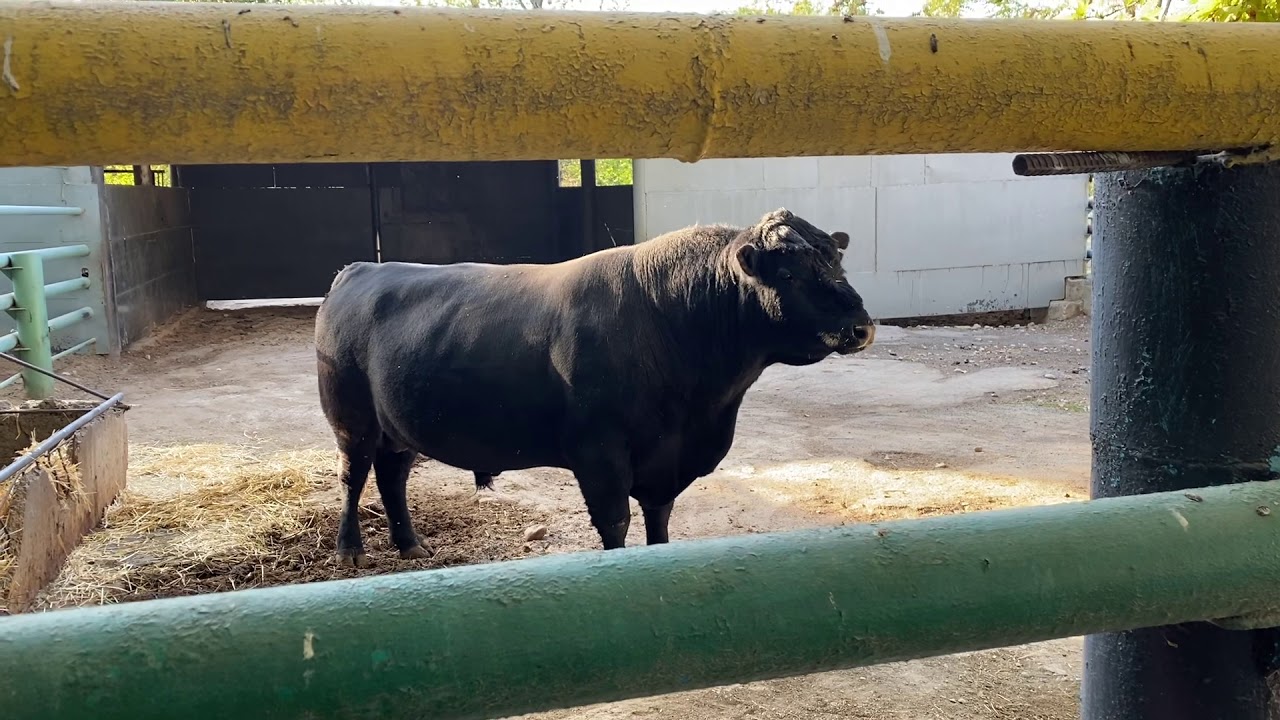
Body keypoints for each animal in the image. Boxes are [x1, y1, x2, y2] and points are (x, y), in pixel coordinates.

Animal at [315, 208, 874, 567]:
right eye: (788, 273)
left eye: (836, 262)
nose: (862, 326)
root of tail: (360, 269)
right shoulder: (600, 454)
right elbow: (616, 523)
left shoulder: (663, 460)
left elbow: (659, 518)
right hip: (351, 421)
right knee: (353, 477)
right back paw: (350, 550)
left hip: (399, 425)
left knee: (392, 475)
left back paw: (409, 544)